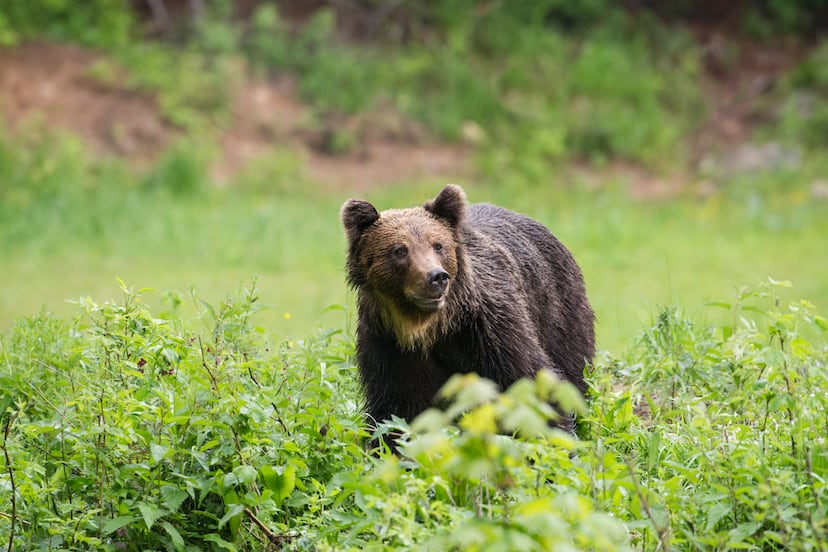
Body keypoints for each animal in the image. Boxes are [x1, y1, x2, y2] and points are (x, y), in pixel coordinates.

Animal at [340, 184, 595, 441]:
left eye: (438, 245)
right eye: (400, 250)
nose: (436, 277)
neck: (431, 328)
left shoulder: (490, 328)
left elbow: (530, 380)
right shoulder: (388, 345)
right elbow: (399, 410)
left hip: (558, 311)